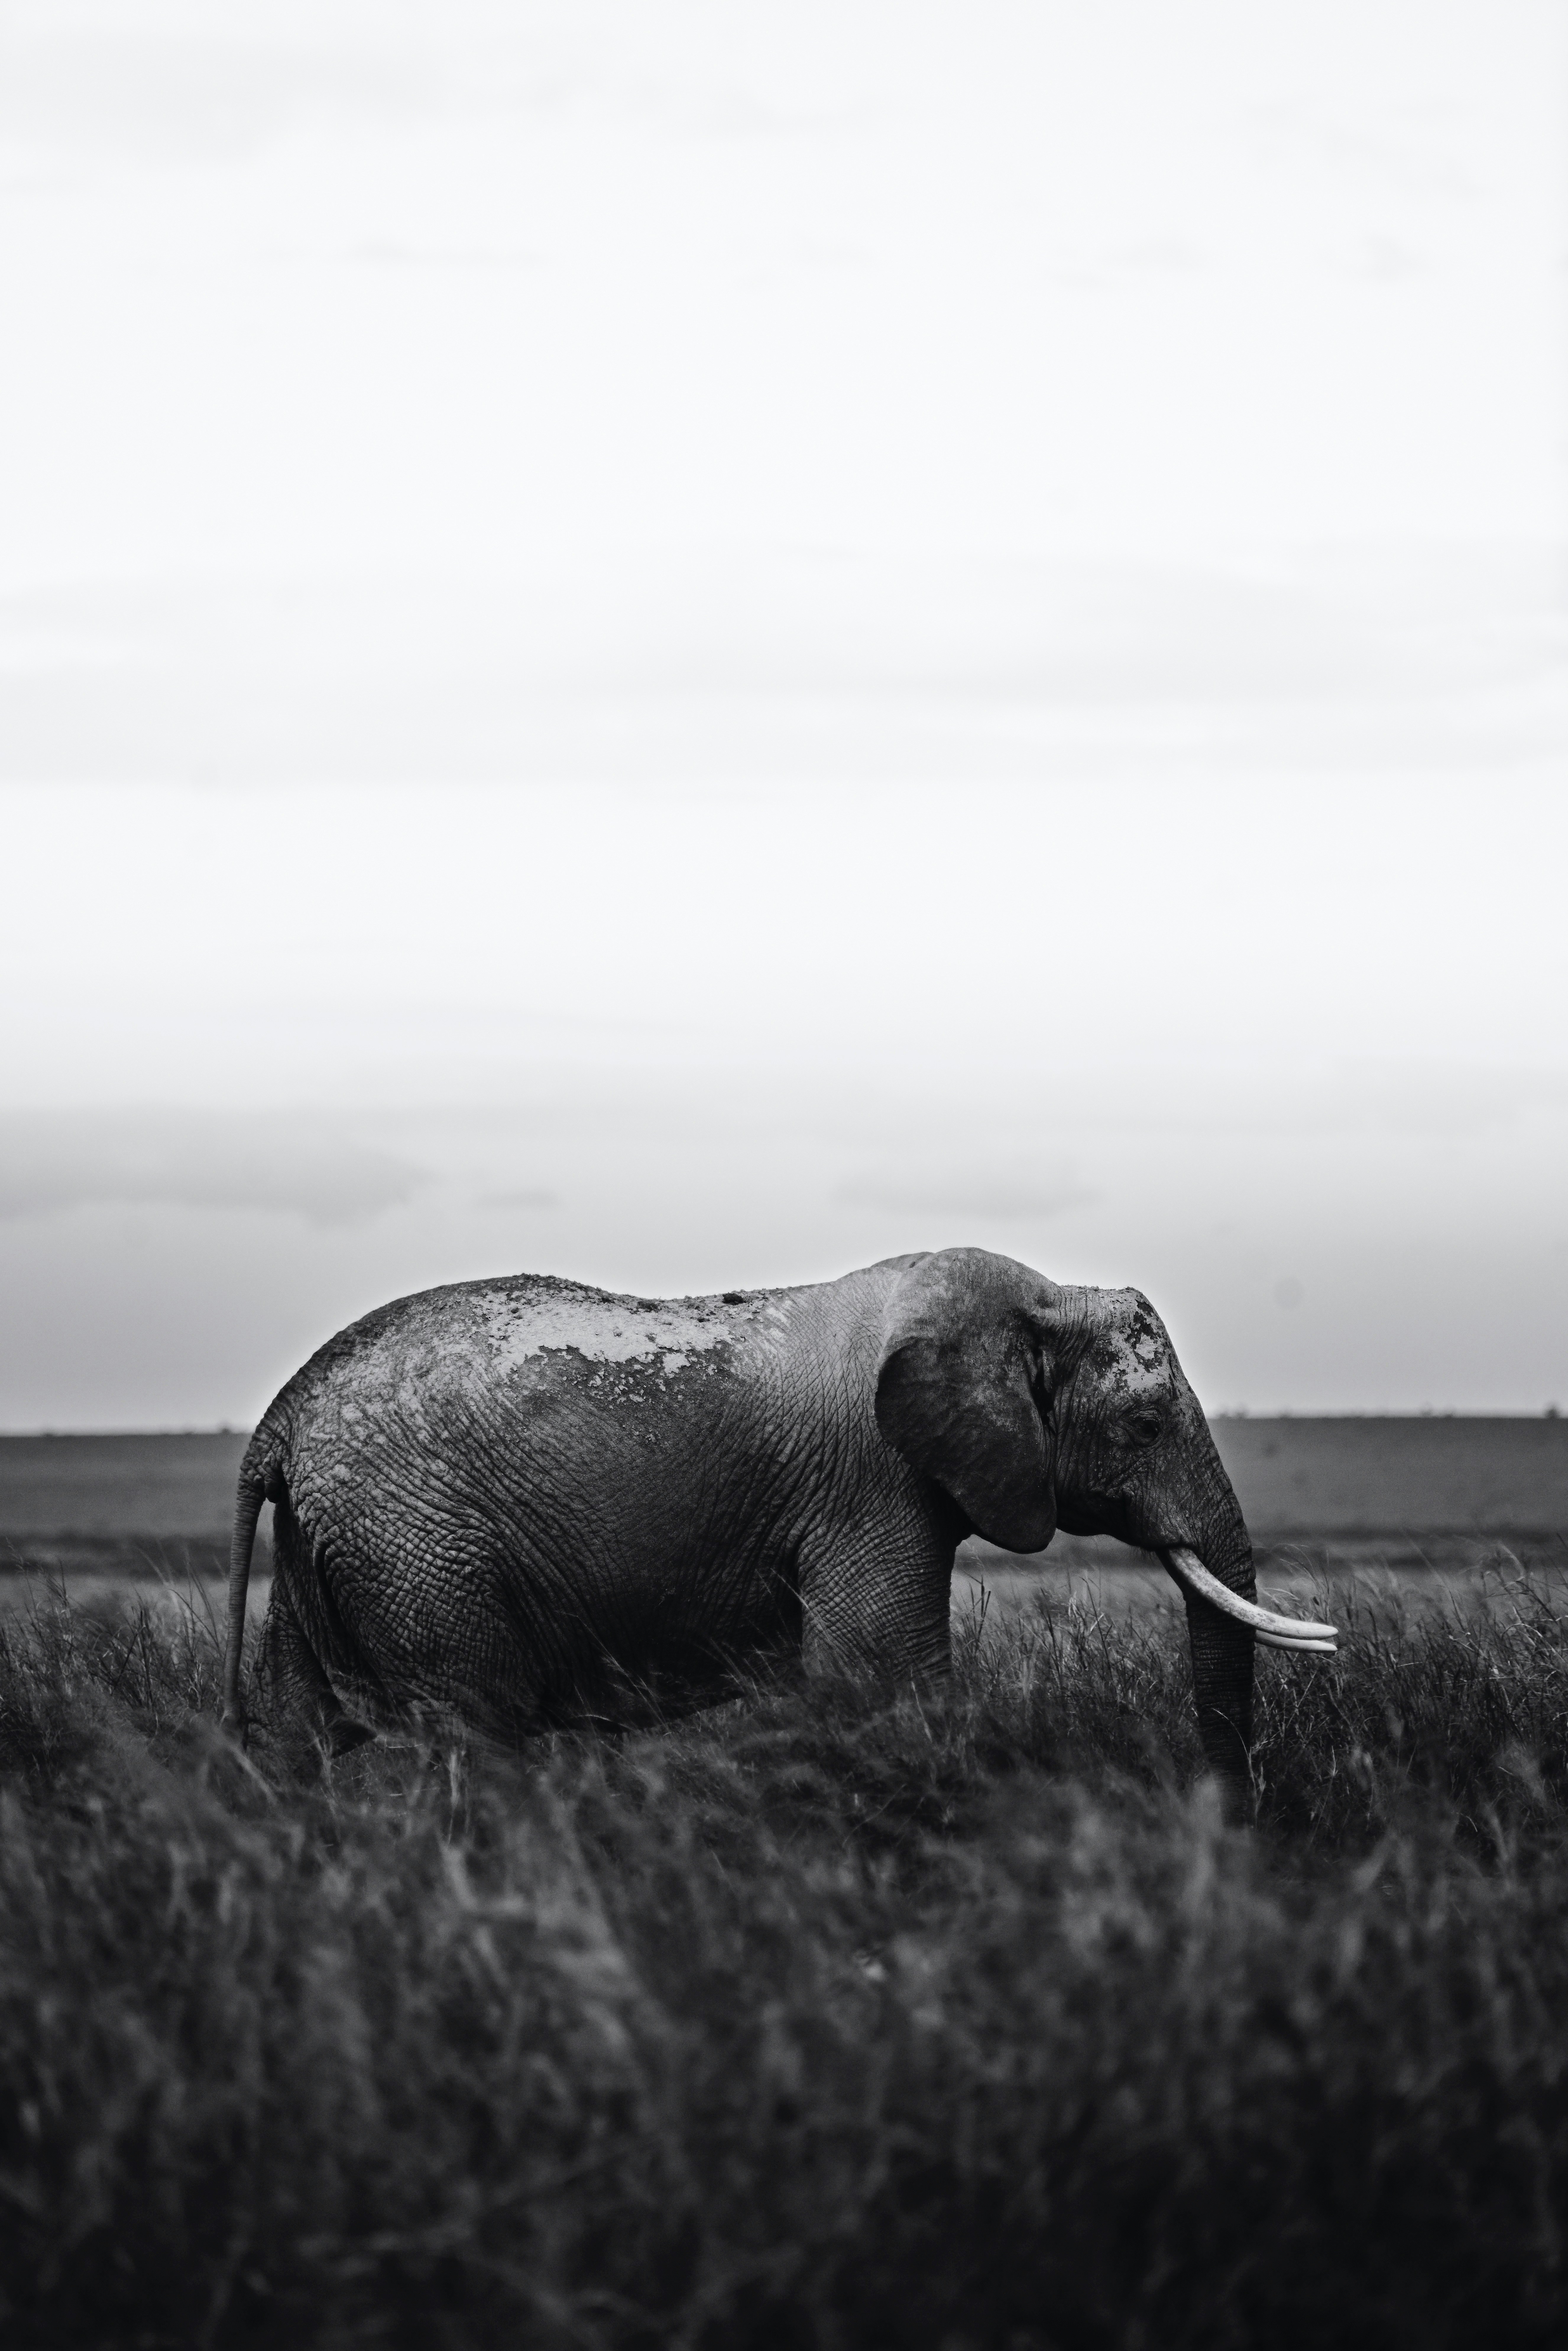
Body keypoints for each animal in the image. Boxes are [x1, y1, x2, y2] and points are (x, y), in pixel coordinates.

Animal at [221, 1247, 1335, 1814]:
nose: (1229, 1813)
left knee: (298, 1739)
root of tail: (280, 1417)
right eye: (1142, 1427)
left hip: (340, 1546)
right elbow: (884, 1685)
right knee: (471, 1735)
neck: (1035, 1298)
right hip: (417, 1545)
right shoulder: (871, 1484)